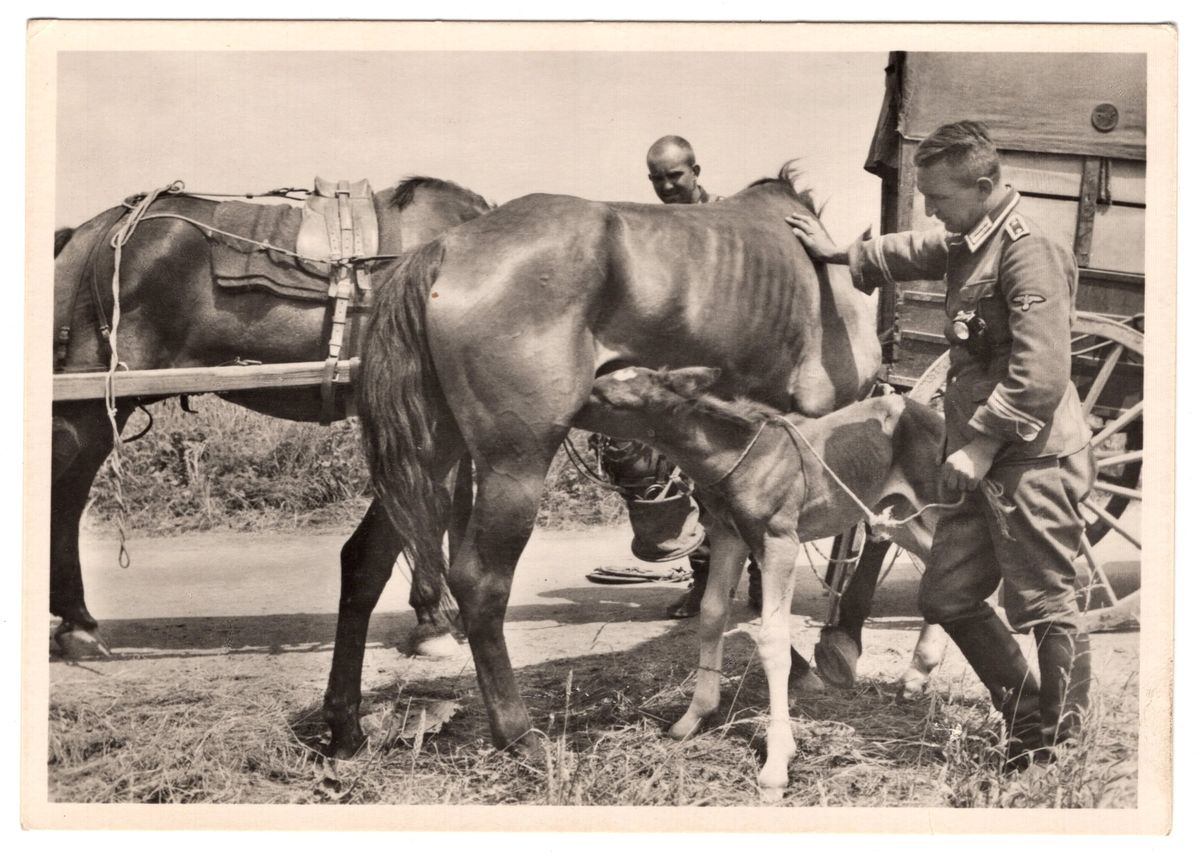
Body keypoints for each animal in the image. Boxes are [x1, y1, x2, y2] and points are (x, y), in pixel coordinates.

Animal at [51, 176, 491, 658]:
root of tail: (90, 233)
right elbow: (428, 508)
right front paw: (433, 622)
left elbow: (453, 508)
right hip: (91, 405)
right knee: (65, 495)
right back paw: (76, 624)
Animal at [350, 165, 882, 759]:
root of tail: (445, 248)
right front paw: (824, 653)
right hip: (515, 463)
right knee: (479, 583)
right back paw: (519, 735)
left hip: (436, 453)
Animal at [585, 365, 952, 797]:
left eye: (613, 400)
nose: (565, 406)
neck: (744, 459)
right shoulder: (728, 536)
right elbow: (712, 614)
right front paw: (693, 717)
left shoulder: (780, 543)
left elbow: (773, 641)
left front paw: (777, 763)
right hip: (898, 514)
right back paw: (916, 675)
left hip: (935, 506)